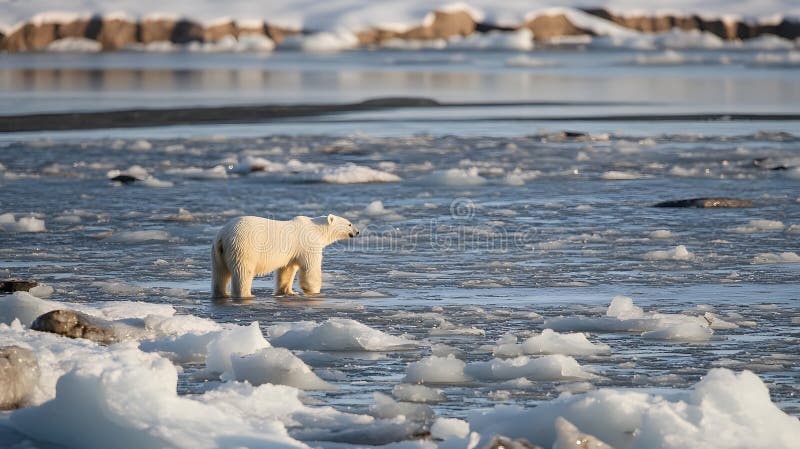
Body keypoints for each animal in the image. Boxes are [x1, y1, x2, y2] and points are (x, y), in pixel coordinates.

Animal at [211, 214, 359, 298]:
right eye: (349, 223)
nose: (357, 232)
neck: (316, 229)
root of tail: (223, 235)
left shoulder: (292, 252)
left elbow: (287, 270)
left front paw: (288, 292)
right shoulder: (307, 244)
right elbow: (311, 268)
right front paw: (313, 291)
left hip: (218, 252)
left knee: (220, 273)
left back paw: (222, 293)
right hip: (243, 247)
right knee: (243, 271)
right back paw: (247, 294)